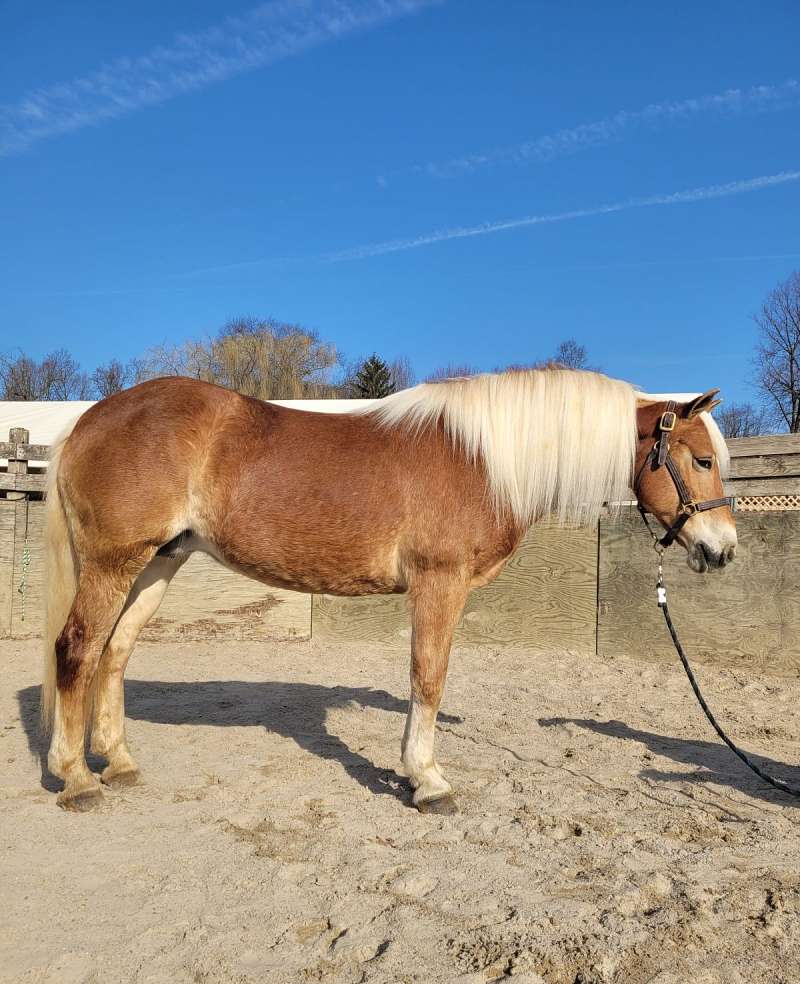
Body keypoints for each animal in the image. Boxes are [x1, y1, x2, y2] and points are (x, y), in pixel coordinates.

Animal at [40, 368, 737, 812]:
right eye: (701, 460)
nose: (723, 550)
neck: (482, 459)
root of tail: (88, 420)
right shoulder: (439, 584)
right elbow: (428, 676)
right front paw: (427, 781)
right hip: (113, 563)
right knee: (77, 650)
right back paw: (77, 779)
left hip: (159, 563)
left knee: (115, 653)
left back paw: (118, 763)